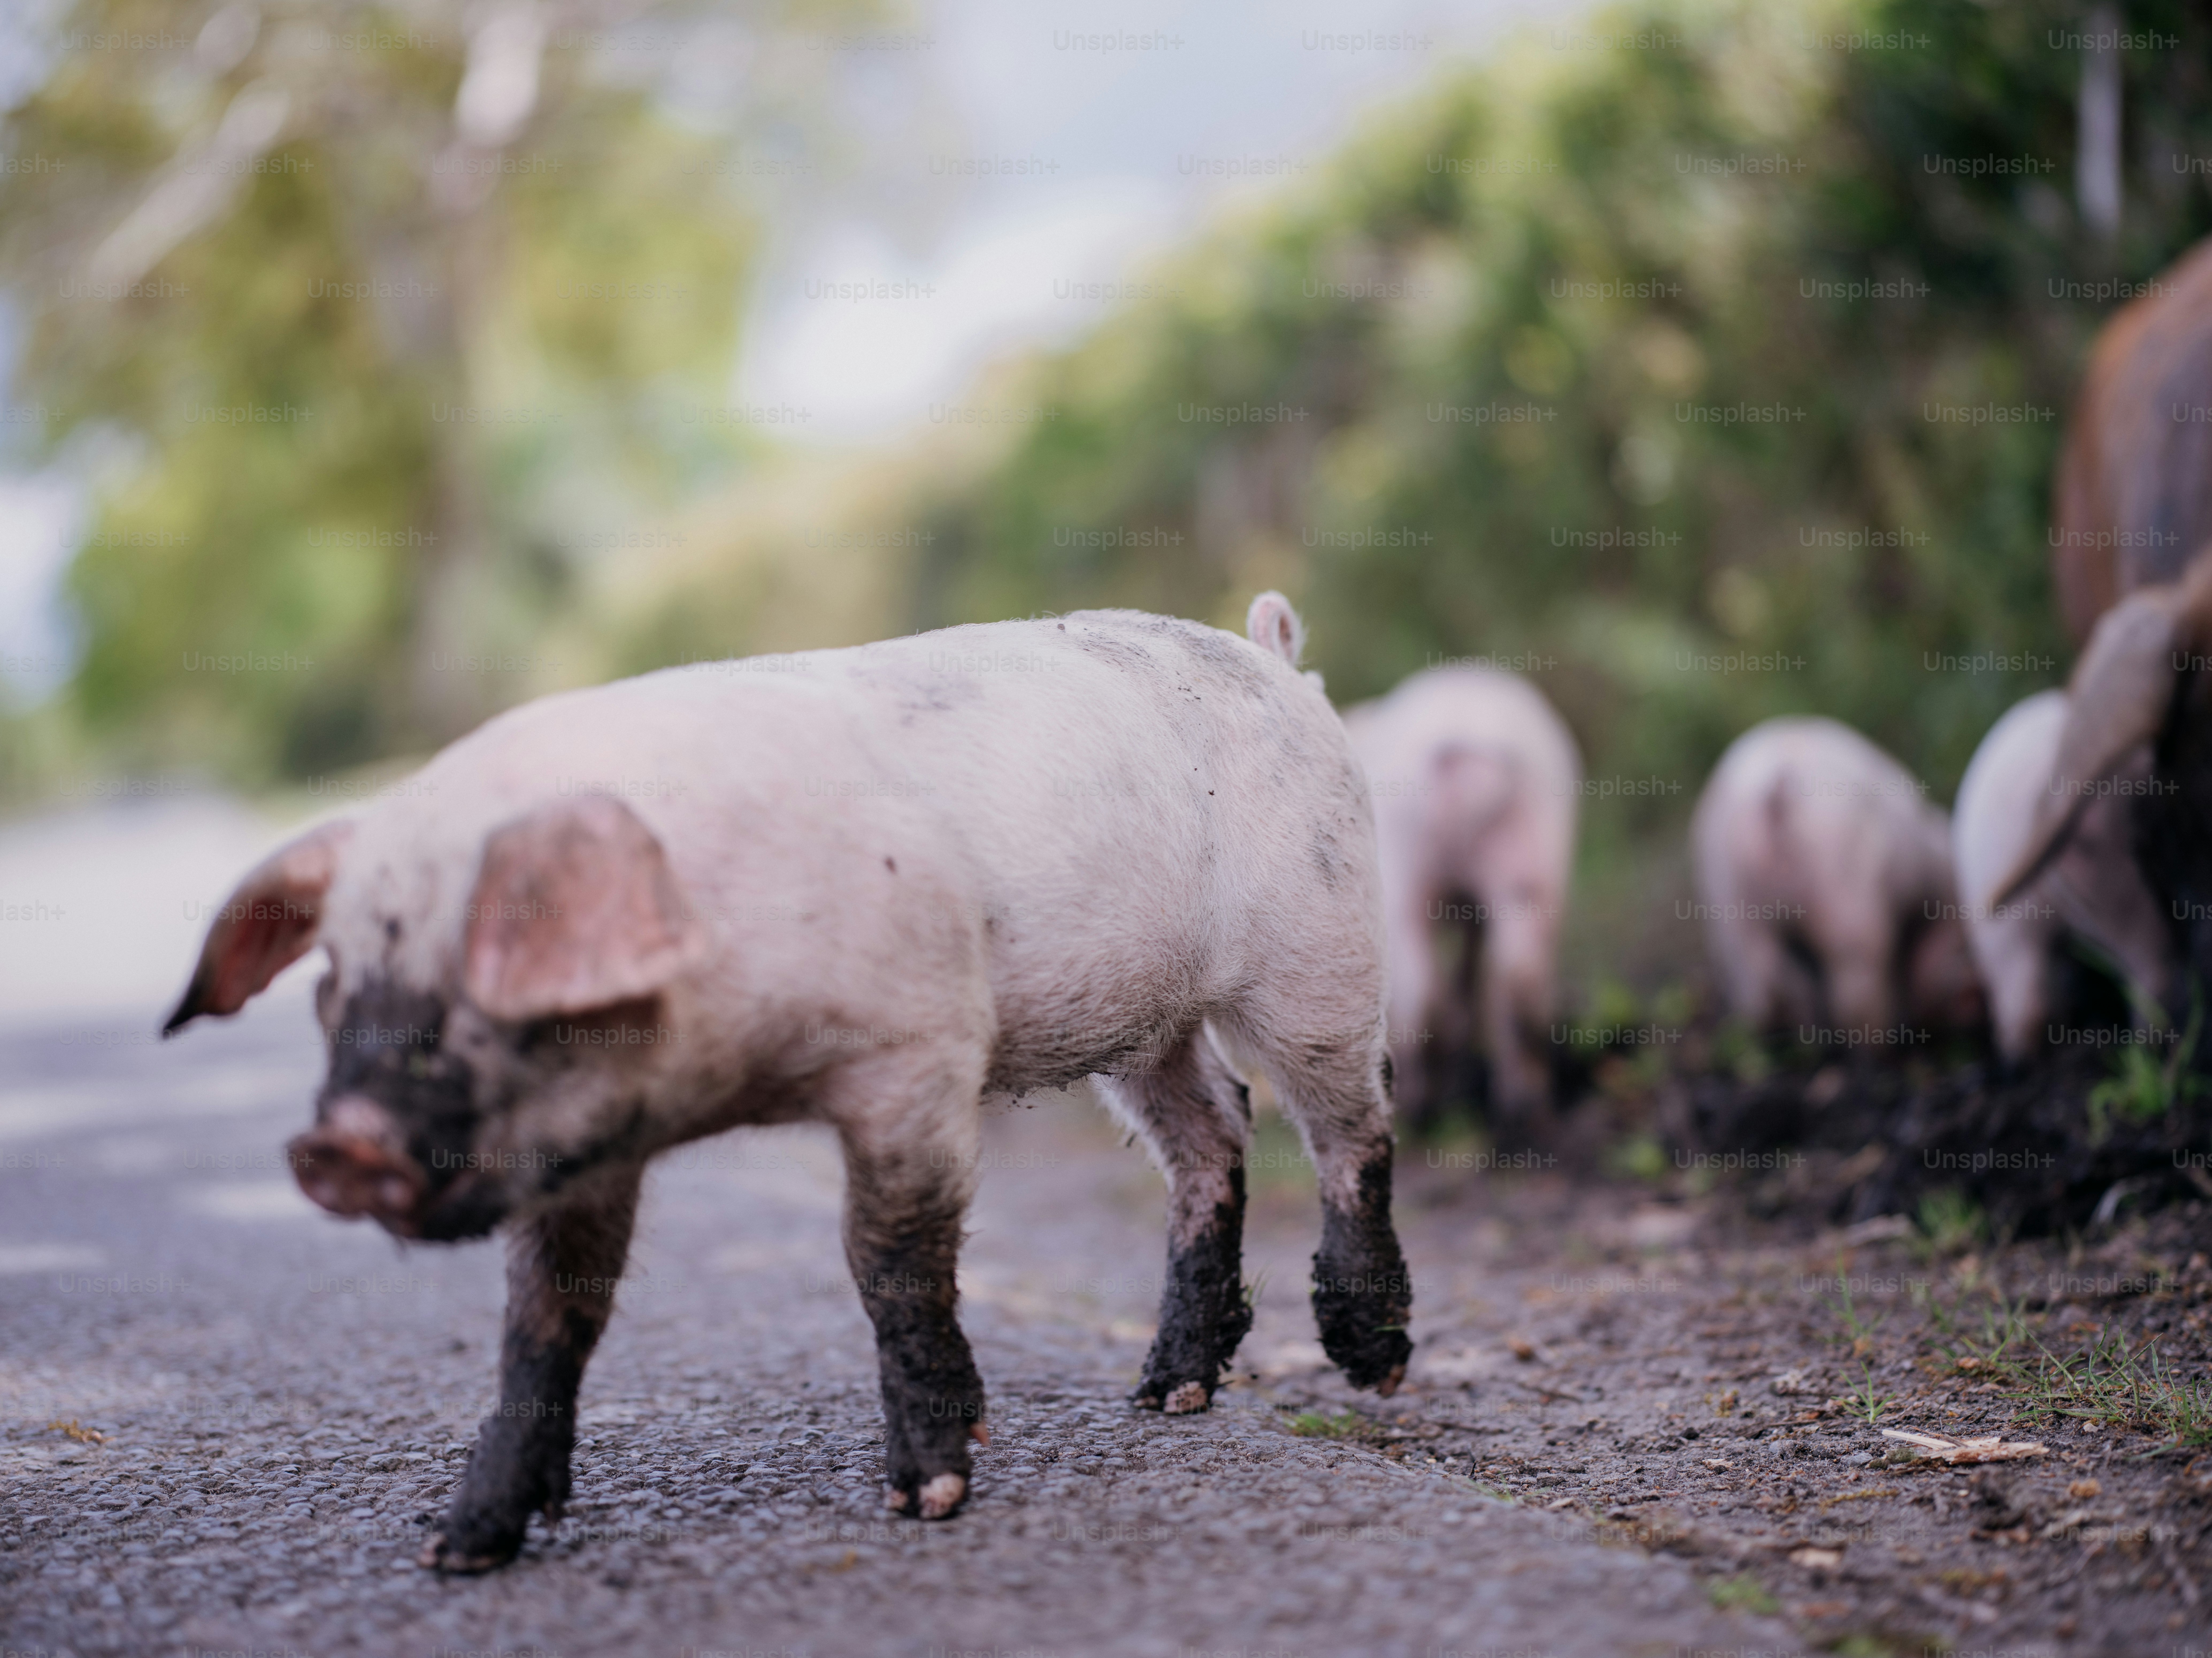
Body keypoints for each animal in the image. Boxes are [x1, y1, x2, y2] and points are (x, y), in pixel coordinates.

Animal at [164, 593, 1413, 1573]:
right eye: (334, 981)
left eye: (503, 965)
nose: (338, 1145)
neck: (729, 1072)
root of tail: (1274, 655)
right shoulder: (588, 1148)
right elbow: (548, 1316)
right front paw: (458, 1544)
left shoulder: (917, 1051)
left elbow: (889, 1262)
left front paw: (928, 1495)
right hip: (1138, 1018)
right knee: (1215, 1125)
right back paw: (1165, 1393)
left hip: (1324, 944)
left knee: (1352, 1123)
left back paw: (1372, 1359)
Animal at [1339, 666, 1580, 1124]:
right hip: (1536, 854)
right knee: (1520, 975)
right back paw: (1524, 1107)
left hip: (1404, 862)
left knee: (1422, 989)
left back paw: (1421, 1107)